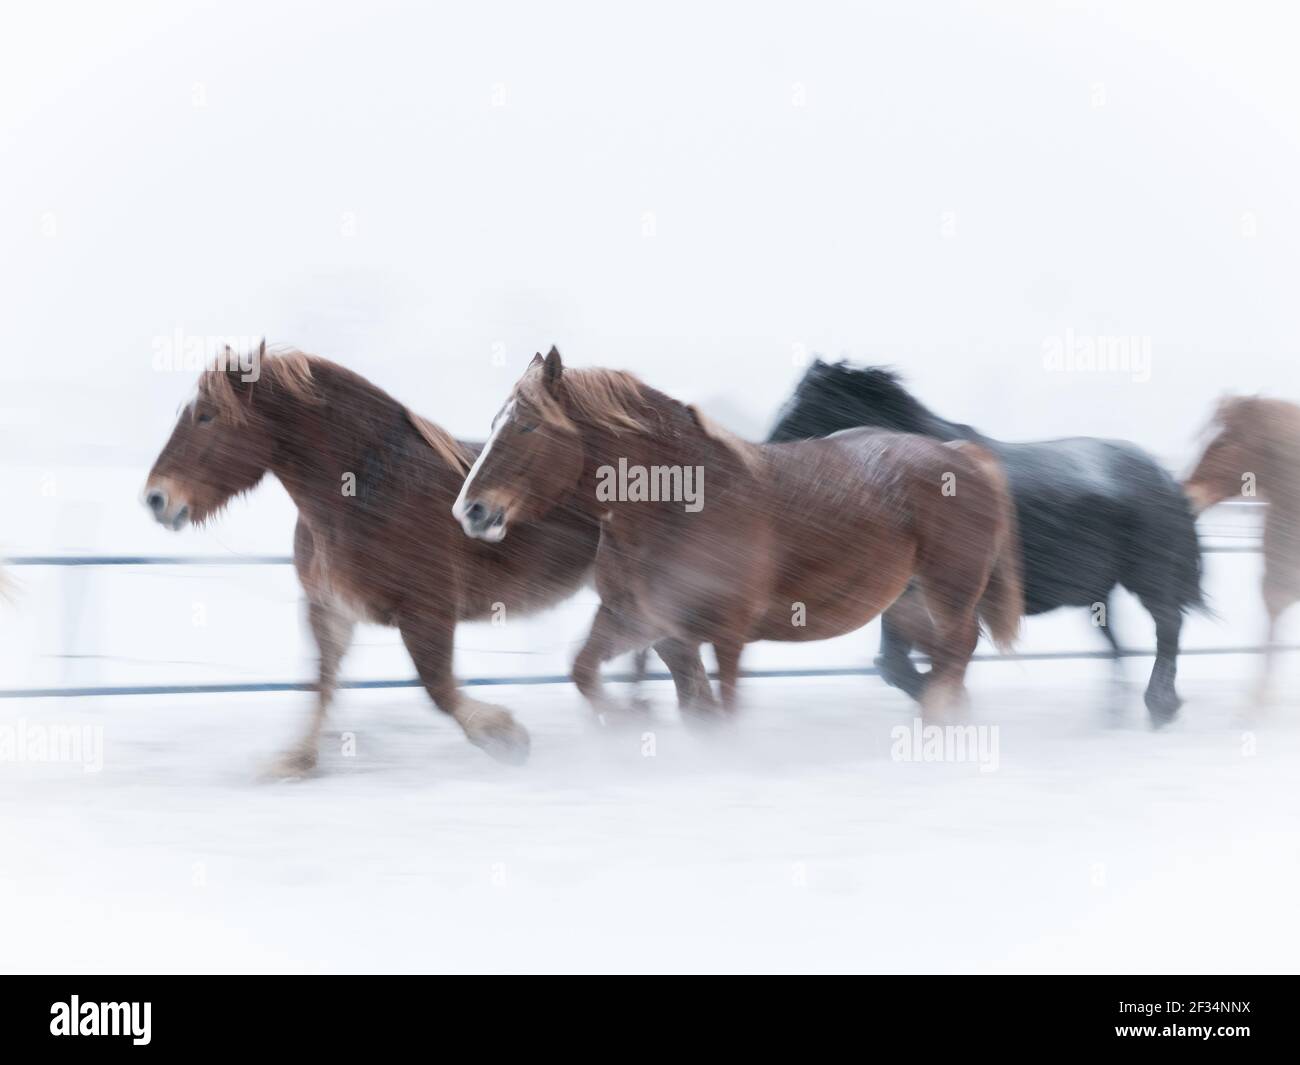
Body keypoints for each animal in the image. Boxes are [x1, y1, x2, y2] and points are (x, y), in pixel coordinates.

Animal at [142, 344, 710, 774]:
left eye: (207, 416)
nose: (156, 500)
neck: (369, 493)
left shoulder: (426, 612)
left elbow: (438, 688)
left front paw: (506, 737)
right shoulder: (330, 610)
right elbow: (321, 684)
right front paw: (295, 761)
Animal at [453, 348, 1023, 722]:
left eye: (528, 425)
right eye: (497, 421)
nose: (472, 510)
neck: (678, 508)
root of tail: (962, 456)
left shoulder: (725, 635)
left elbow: (722, 709)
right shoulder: (646, 627)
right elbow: (589, 673)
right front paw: (629, 720)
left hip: (948, 596)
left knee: (954, 653)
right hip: (908, 603)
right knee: (942, 660)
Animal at [767, 359, 1204, 726]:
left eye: (806, 407)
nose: (769, 460)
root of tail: (1162, 475)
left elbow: (921, 659)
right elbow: (894, 662)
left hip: (1148, 575)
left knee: (1168, 626)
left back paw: (1160, 705)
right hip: (1098, 592)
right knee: (1118, 641)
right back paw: (1118, 708)